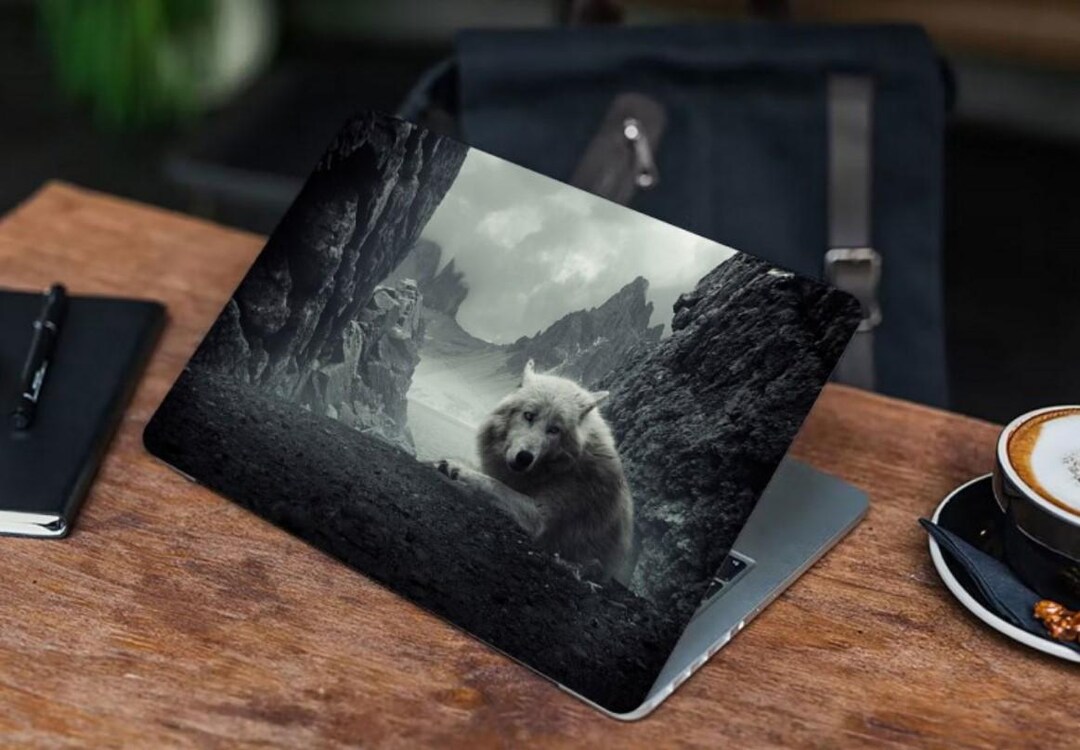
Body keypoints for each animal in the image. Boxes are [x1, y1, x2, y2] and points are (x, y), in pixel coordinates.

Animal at [435, 359, 634, 582]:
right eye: (529, 415)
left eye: (554, 430)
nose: (524, 458)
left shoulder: (540, 517)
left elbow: (495, 485)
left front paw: (457, 469)